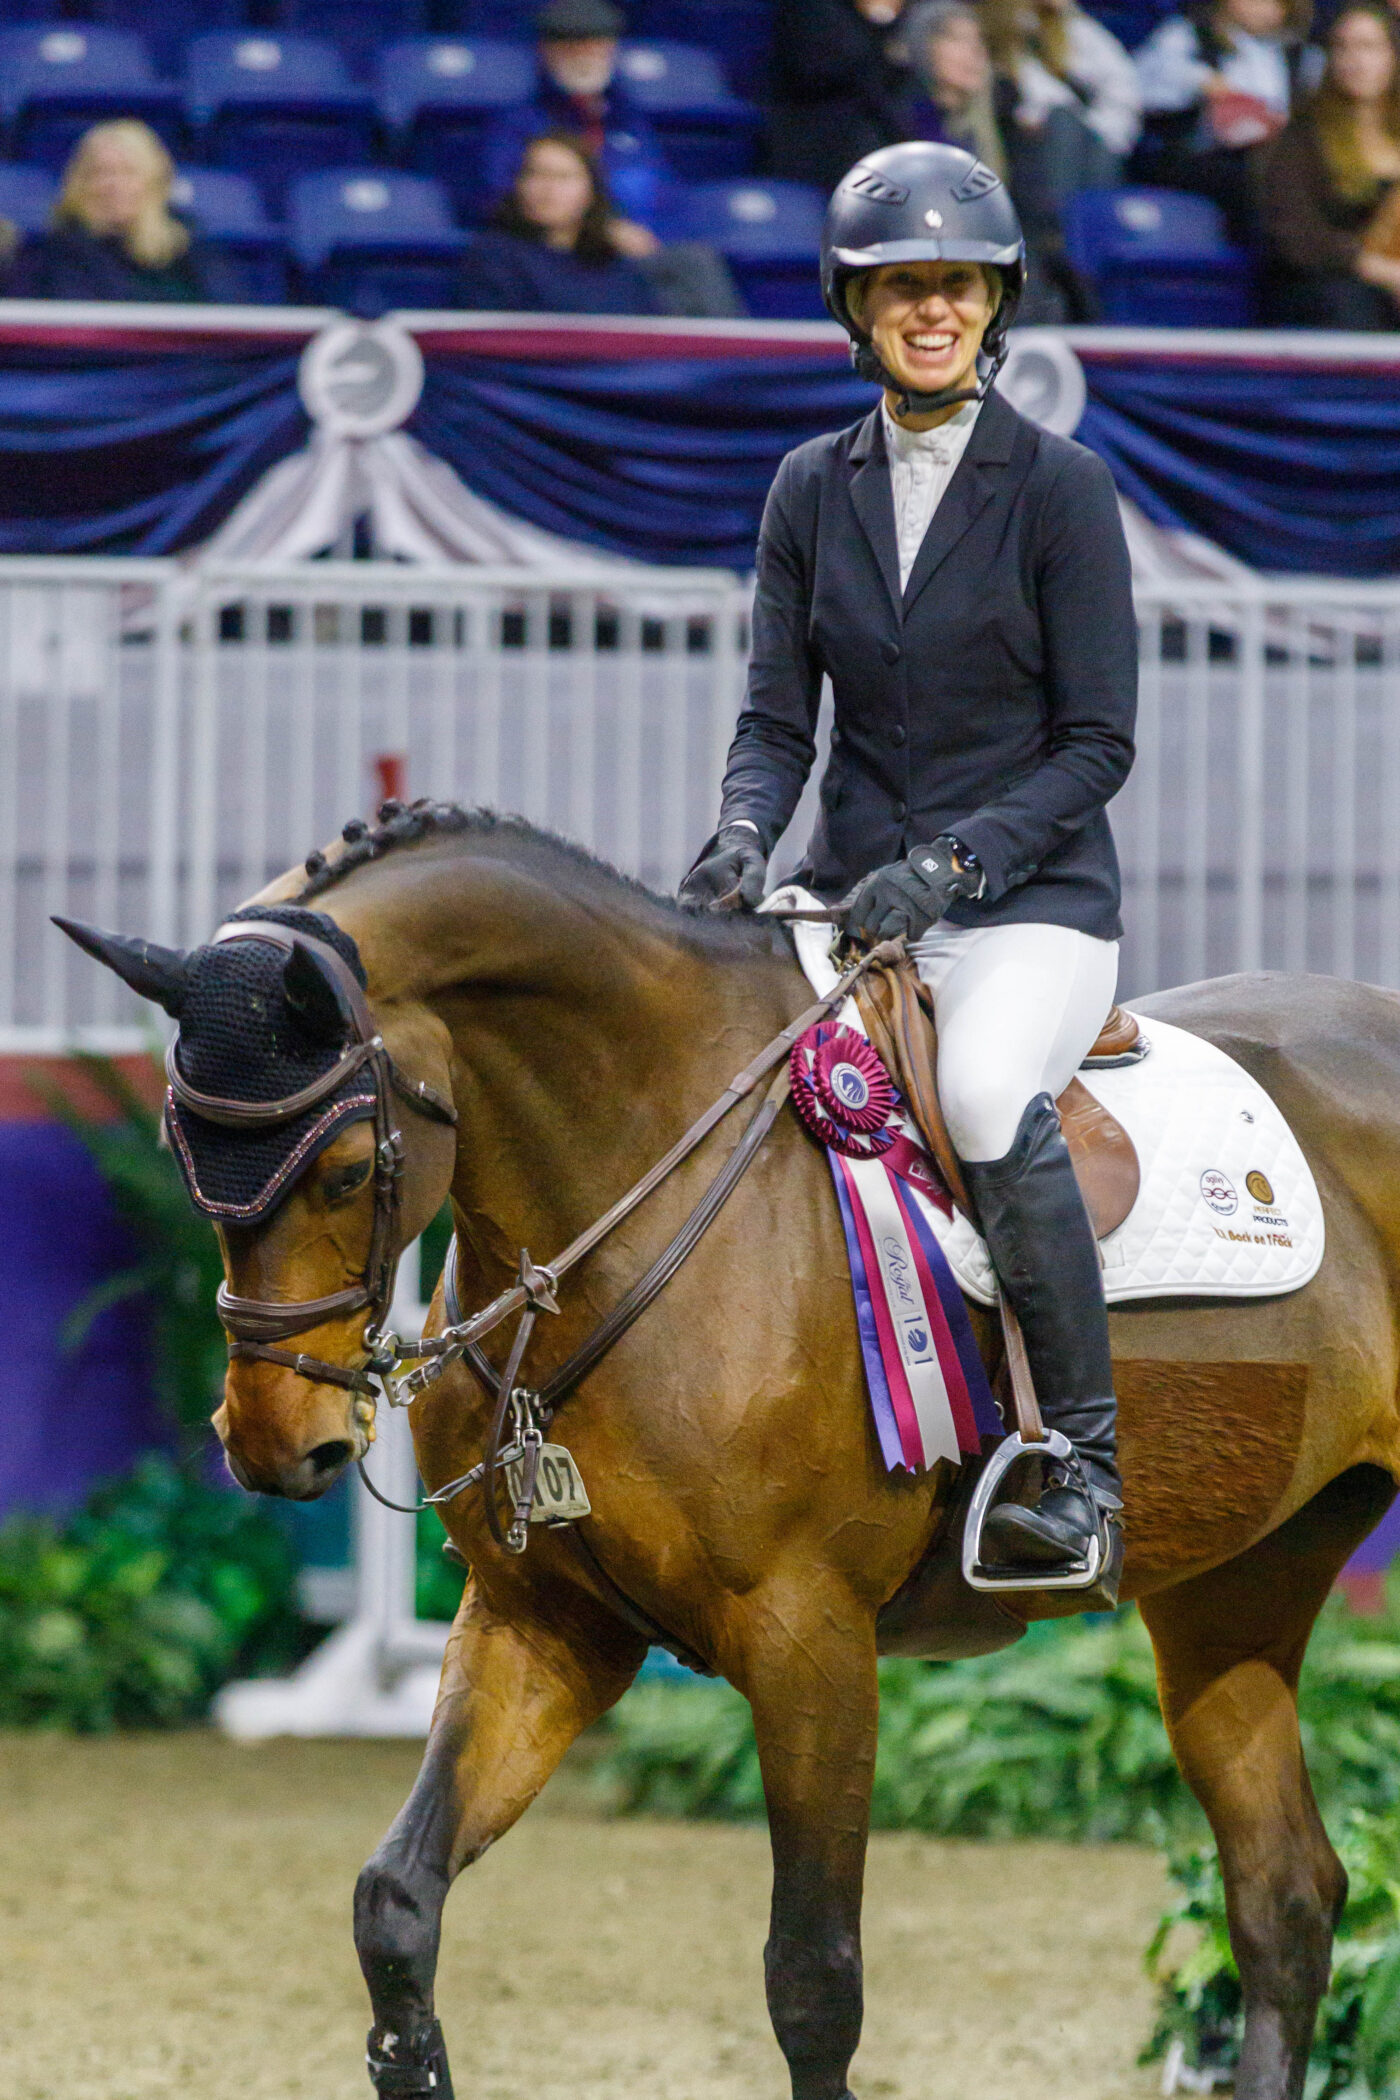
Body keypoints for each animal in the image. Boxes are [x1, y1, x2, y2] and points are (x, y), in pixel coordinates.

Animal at [63, 801, 1400, 2100]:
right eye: (184, 1152)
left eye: (344, 1170)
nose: (272, 1446)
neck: (631, 1183)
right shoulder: (540, 1624)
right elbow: (395, 1905)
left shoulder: (809, 1636)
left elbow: (812, 1982)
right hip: (1238, 1588)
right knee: (1283, 1899)